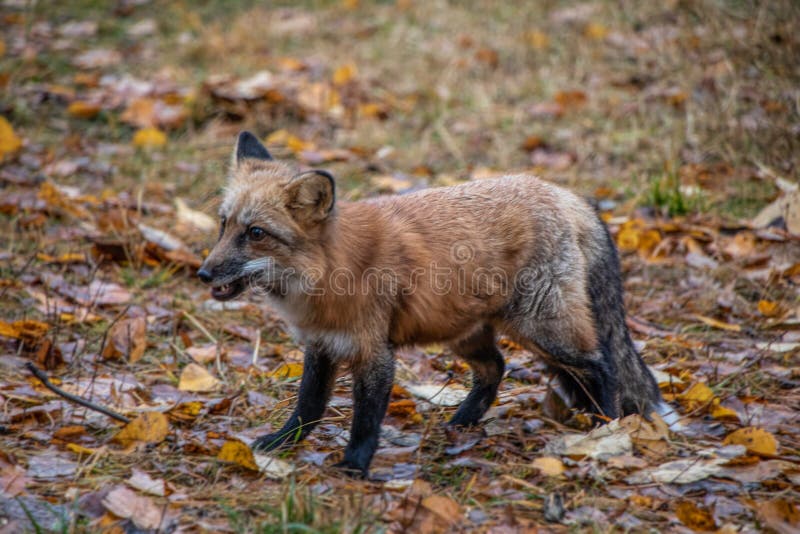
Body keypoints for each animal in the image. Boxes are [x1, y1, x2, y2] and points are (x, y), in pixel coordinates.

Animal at [198, 131, 665, 477]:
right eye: (223, 226)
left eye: (256, 233)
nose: (203, 274)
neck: (329, 271)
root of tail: (561, 192)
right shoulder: (322, 345)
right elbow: (307, 406)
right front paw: (283, 443)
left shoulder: (374, 353)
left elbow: (365, 420)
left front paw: (354, 467)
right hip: (463, 332)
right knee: (497, 368)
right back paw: (462, 422)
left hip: (543, 330)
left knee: (600, 365)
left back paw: (603, 427)